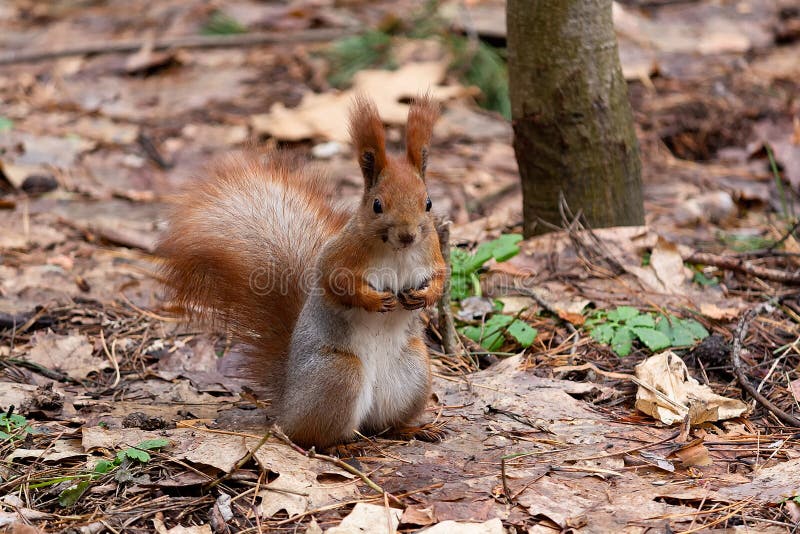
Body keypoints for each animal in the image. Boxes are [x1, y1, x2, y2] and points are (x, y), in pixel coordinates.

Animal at [156, 95, 446, 448]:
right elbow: (337, 283)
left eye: (428, 203)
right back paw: (341, 446)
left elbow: (441, 276)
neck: (398, 253)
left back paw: (413, 429)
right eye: (377, 205)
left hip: (412, 371)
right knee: (312, 434)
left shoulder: (431, 252)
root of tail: (288, 404)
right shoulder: (340, 256)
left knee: (384, 425)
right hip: (339, 373)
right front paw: (375, 300)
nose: (407, 235)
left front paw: (426, 295)